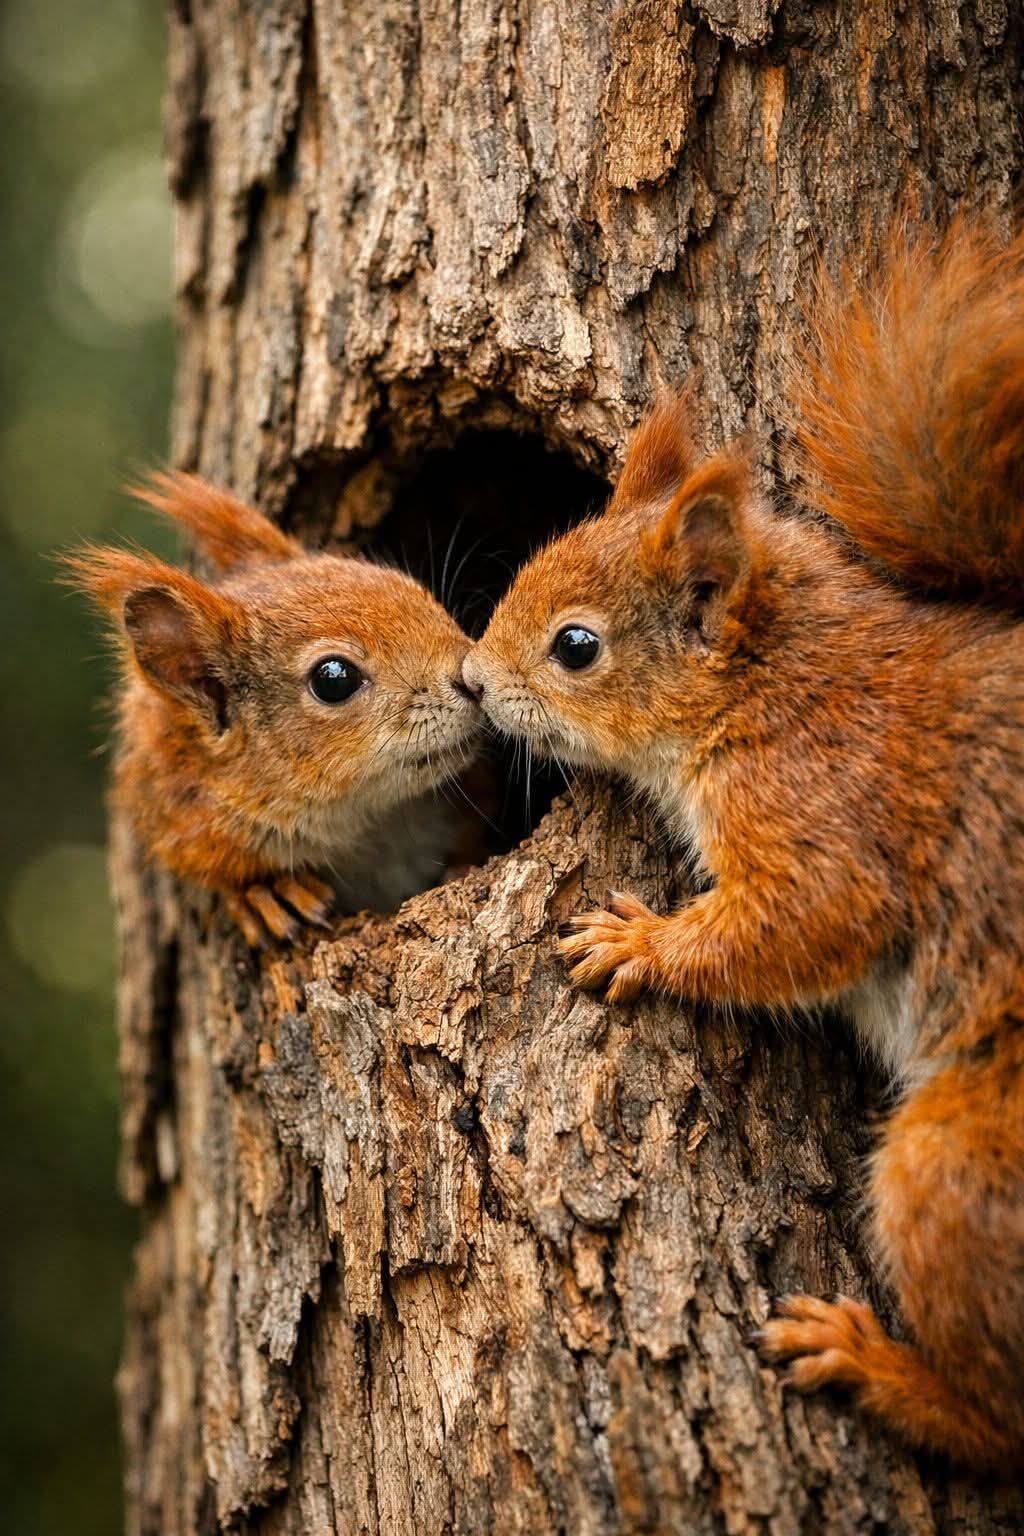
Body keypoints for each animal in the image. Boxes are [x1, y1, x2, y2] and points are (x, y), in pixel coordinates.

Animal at [462, 222, 1024, 1474]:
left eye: (576, 647)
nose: (469, 680)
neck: (772, 677)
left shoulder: (825, 806)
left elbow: (805, 921)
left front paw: (638, 944)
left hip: (953, 1164)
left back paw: (873, 1366)